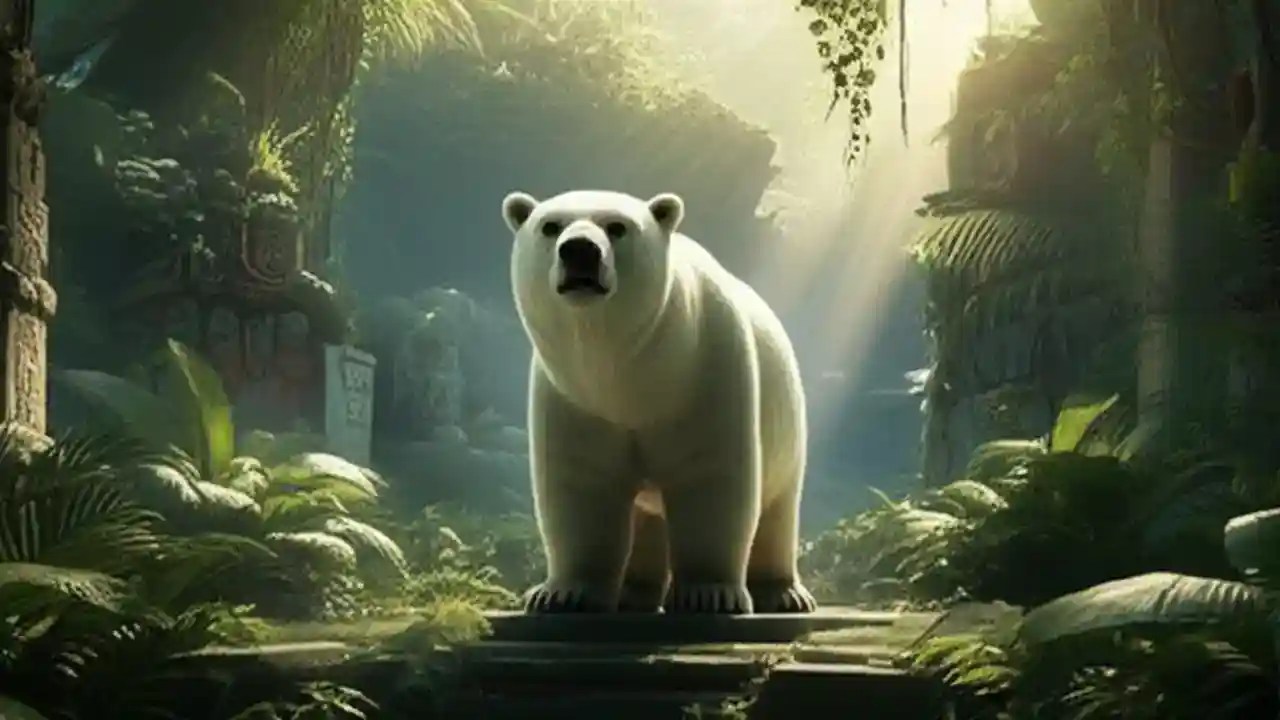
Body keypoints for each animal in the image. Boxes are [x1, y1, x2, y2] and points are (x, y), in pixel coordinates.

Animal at [501, 189, 816, 615]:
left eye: (617, 227)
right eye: (550, 226)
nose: (579, 250)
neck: (633, 377)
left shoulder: (705, 371)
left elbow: (710, 476)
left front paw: (708, 593)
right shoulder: (574, 399)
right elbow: (583, 485)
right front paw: (561, 593)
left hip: (787, 421)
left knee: (779, 508)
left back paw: (784, 593)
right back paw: (634, 595)